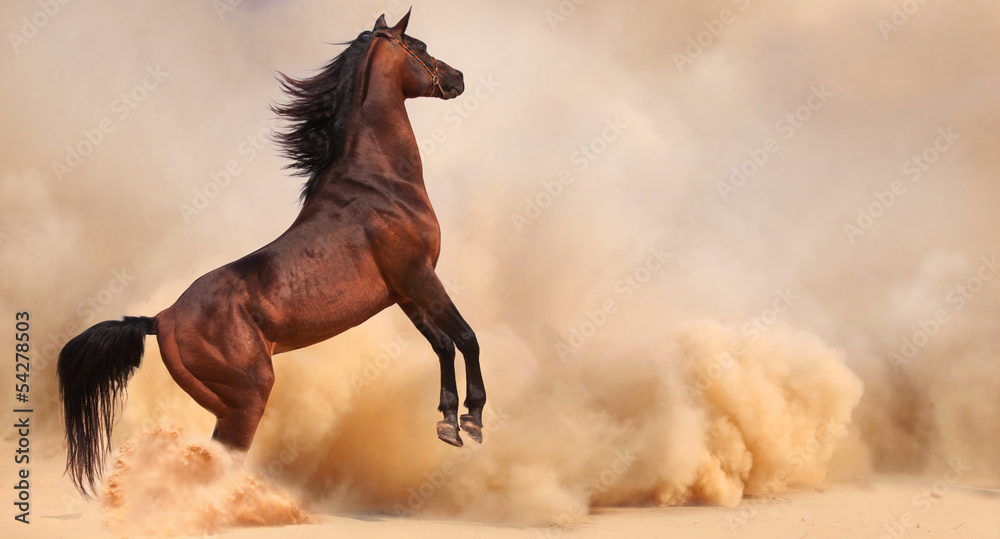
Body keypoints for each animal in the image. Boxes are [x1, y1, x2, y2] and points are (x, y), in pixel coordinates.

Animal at [56, 10, 485, 497]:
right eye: (419, 45)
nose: (457, 77)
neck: (379, 182)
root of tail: (161, 317)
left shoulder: (404, 292)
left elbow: (443, 344)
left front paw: (448, 422)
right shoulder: (419, 276)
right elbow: (466, 336)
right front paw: (473, 418)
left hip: (230, 406)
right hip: (248, 398)